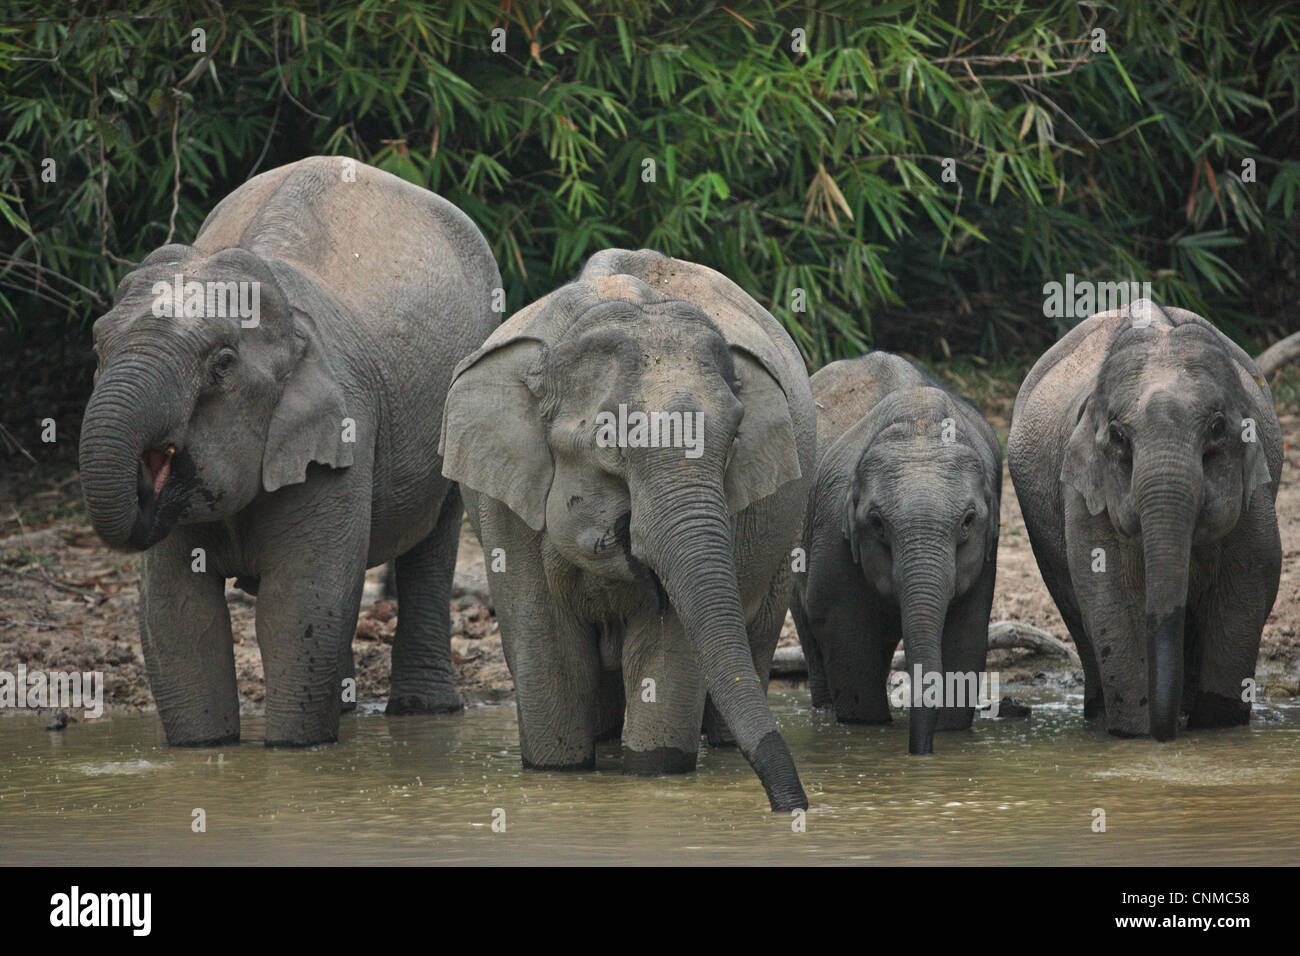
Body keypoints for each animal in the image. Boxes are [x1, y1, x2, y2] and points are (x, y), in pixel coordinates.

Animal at [79, 156, 502, 747]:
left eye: (222, 364)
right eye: (98, 349)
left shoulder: (342, 428)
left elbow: (300, 598)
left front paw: (293, 749)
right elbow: (175, 608)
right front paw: (204, 748)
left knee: (431, 547)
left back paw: (424, 710)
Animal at [439, 248, 814, 811]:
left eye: (733, 442)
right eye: (610, 440)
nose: (794, 808)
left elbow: (667, 653)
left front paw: (653, 772)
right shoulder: (505, 507)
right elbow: (550, 648)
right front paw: (560, 772)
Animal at [791, 352, 1001, 754]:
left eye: (968, 521)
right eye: (876, 523)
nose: (920, 752)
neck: (919, 421)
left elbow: (966, 633)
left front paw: (949, 734)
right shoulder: (832, 530)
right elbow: (847, 631)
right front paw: (866, 727)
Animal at [1007, 299, 1282, 739]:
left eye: (1217, 428)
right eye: (1118, 437)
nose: (1166, 734)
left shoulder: (1253, 490)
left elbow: (1249, 581)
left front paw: (1217, 728)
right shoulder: (1087, 492)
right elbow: (1108, 592)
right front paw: (1136, 733)